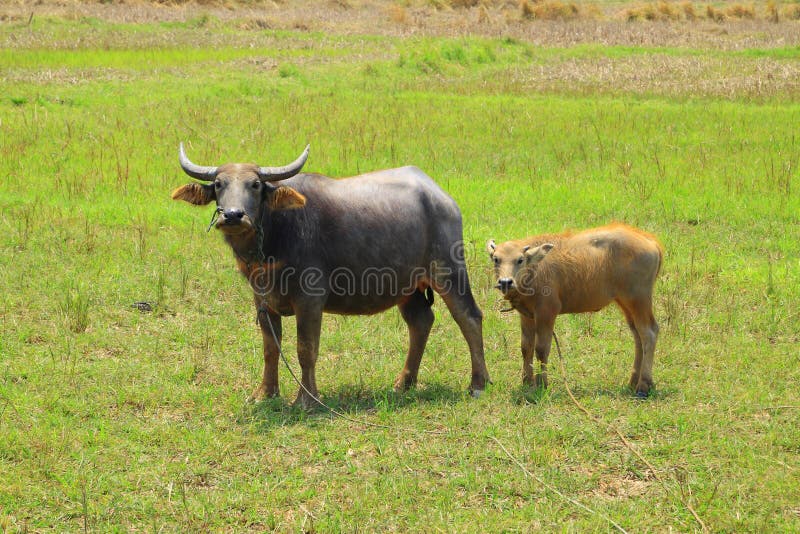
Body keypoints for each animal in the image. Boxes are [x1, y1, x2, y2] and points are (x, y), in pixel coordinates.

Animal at [172, 143, 490, 407]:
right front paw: (265, 393)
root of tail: (441, 198)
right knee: (421, 322)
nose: (233, 215)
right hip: (407, 286)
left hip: (449, 270)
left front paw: (307, 399)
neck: (275, 235)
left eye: (255, 184)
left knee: (468, 316)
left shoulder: (310, 300)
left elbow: (306, 348)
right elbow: (270, 349)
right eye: (219, 184)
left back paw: (478, 383)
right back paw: (404, 382)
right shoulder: (262, 300)